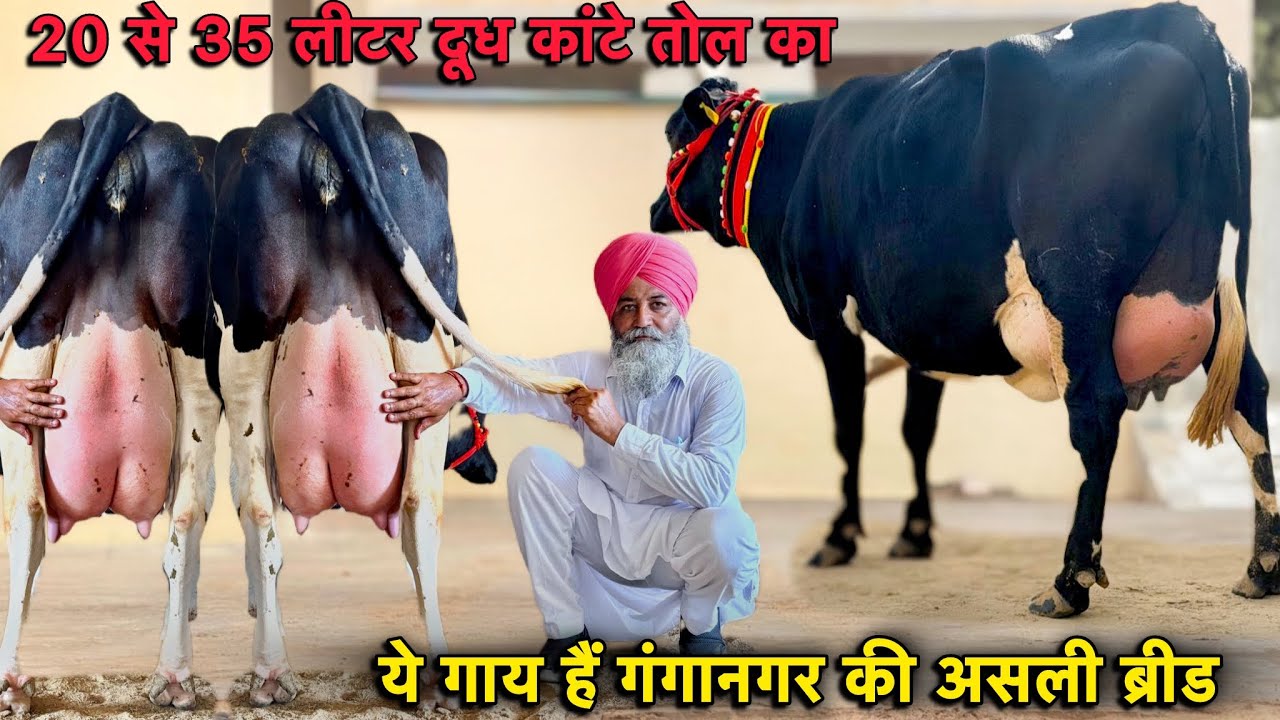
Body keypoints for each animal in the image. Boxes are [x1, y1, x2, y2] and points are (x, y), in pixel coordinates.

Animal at [211, 84, 577, 708]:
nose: (487, 468)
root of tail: (328, 100)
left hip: (253, 347)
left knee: (267, 506)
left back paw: (272, 670)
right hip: (411, 336)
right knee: (414, 506)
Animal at [650, 2, 1276, 617]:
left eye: (672, 133)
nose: (655, 209)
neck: (797, 159)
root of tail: (1184, 21)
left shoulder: (830, 315)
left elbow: (849, 429)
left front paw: (839, 539)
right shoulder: (925, 330)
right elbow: (917, 431)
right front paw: (915, 534)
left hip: (1076, 292)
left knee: (1097, 411)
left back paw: (1068, 582)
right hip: (1223, 297)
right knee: (1249, 395)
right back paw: (1261, 569)